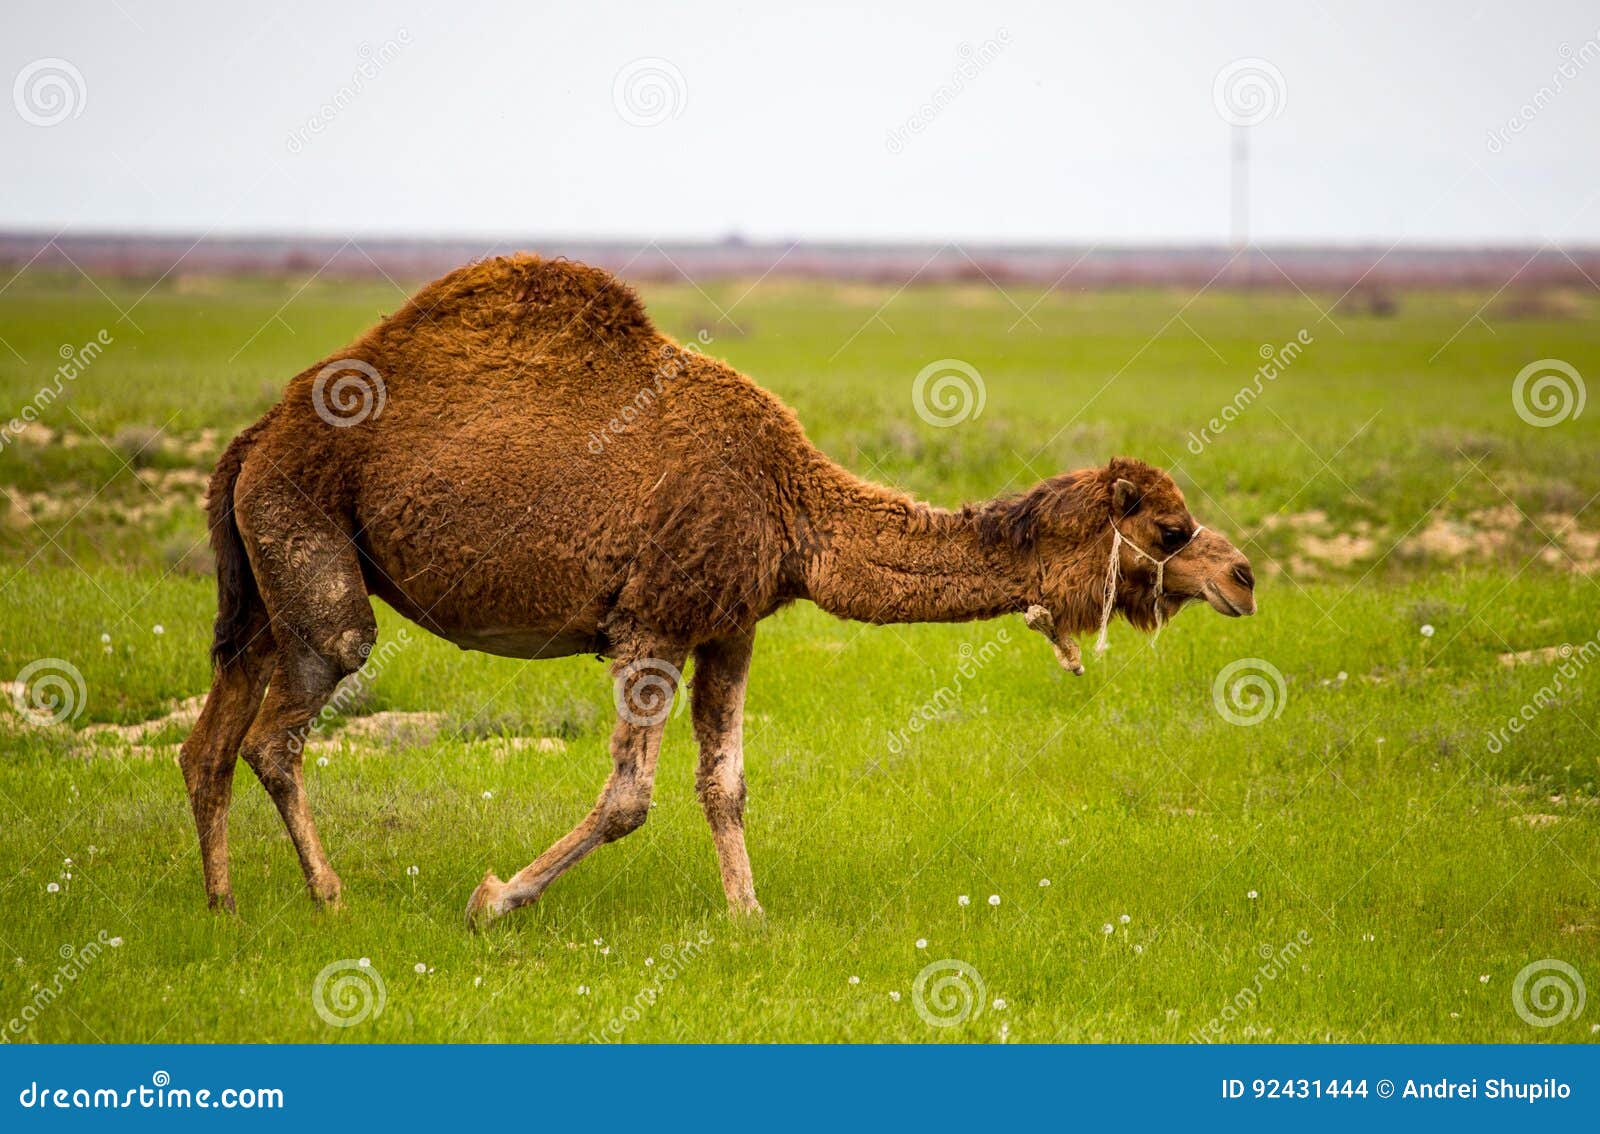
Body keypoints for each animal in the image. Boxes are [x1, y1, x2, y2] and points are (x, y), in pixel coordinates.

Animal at [177, 255, 1256, 928]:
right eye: (1172, 529)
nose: (1243, 577)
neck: (792, 507)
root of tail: (255, 435)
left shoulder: (730, 625)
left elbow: (724, 784)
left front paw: (750, 918)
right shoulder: (652, 621)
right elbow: (627, 798)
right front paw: (494, 901)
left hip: (264, 571)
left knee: (211, 738)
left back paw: (223, 905)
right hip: (308, 537)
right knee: (286, 719)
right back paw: (328, 899)